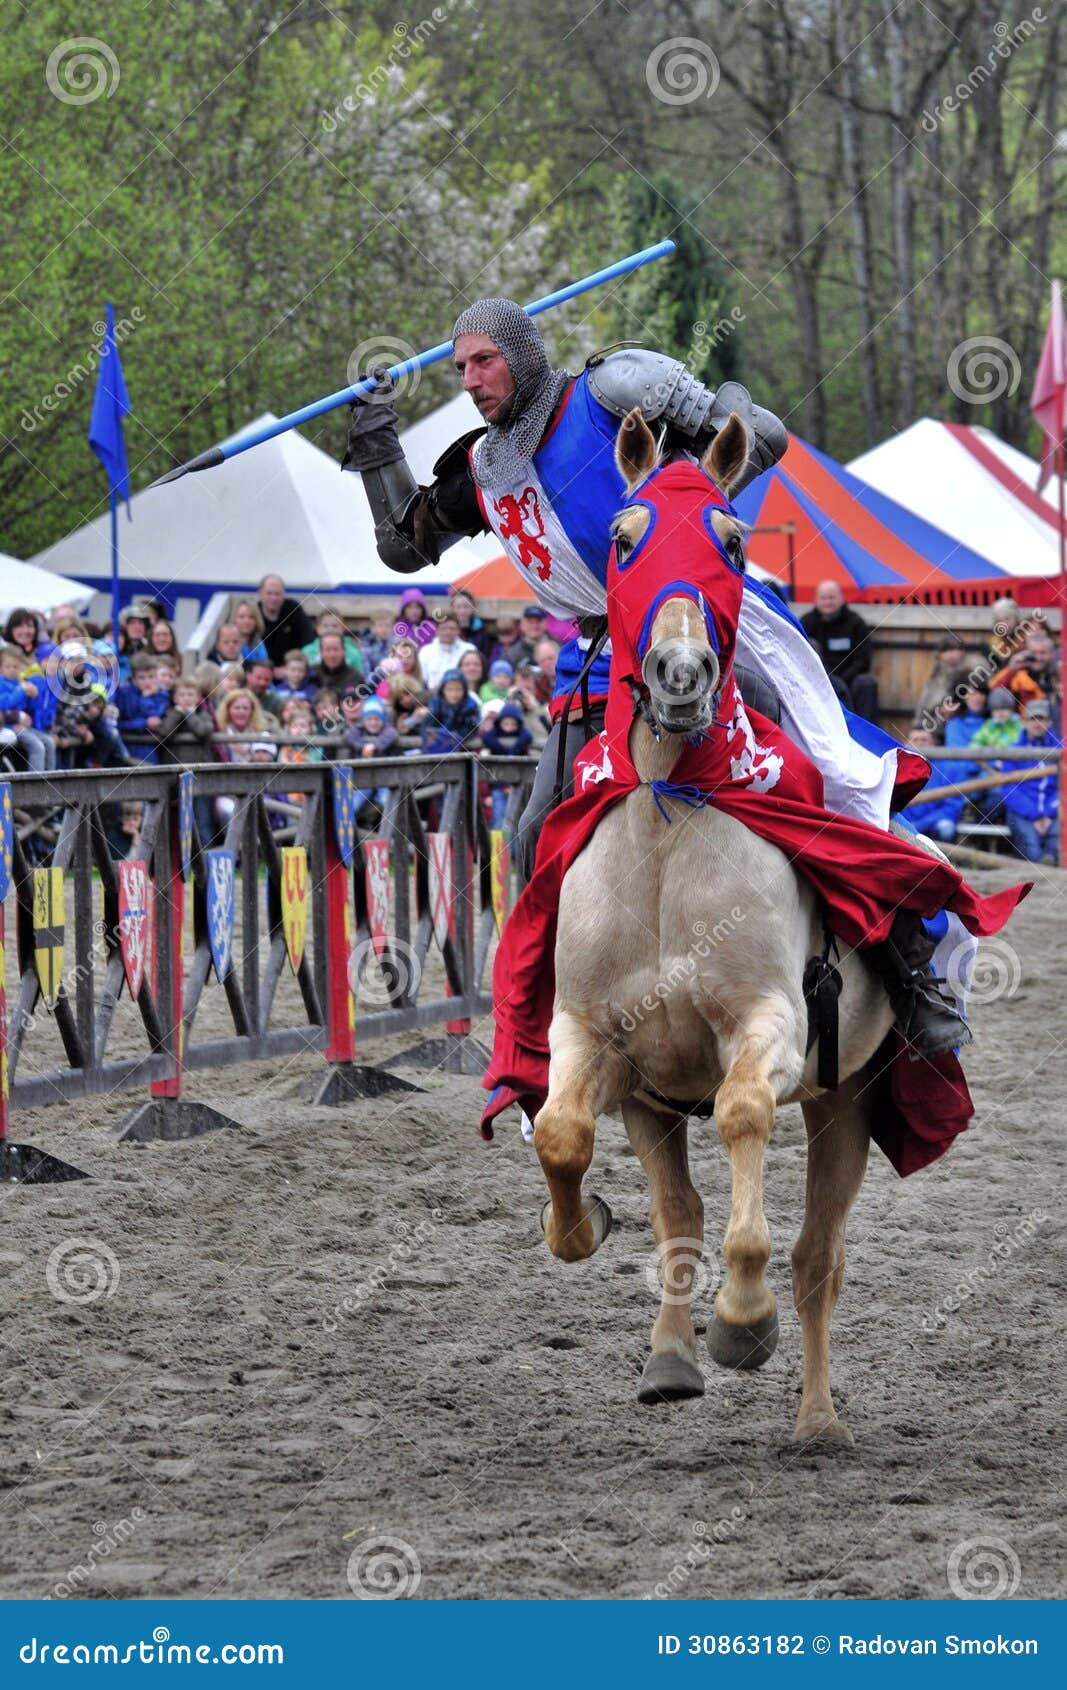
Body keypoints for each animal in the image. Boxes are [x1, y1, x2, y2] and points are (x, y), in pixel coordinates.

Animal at [532, 408, 895, 1445]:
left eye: (732, 542)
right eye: (624, 537)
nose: (681, 671)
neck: (669, 821)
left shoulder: (768, 1024)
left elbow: (741, 1115)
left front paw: (741, 1322)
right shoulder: (592, 1036)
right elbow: (558, 1137)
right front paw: (583, 1226)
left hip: (848, 1100)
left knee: (817, 1256)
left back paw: (815, 1416)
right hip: (654, 1105)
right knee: (681, 1212)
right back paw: (668, 1359)